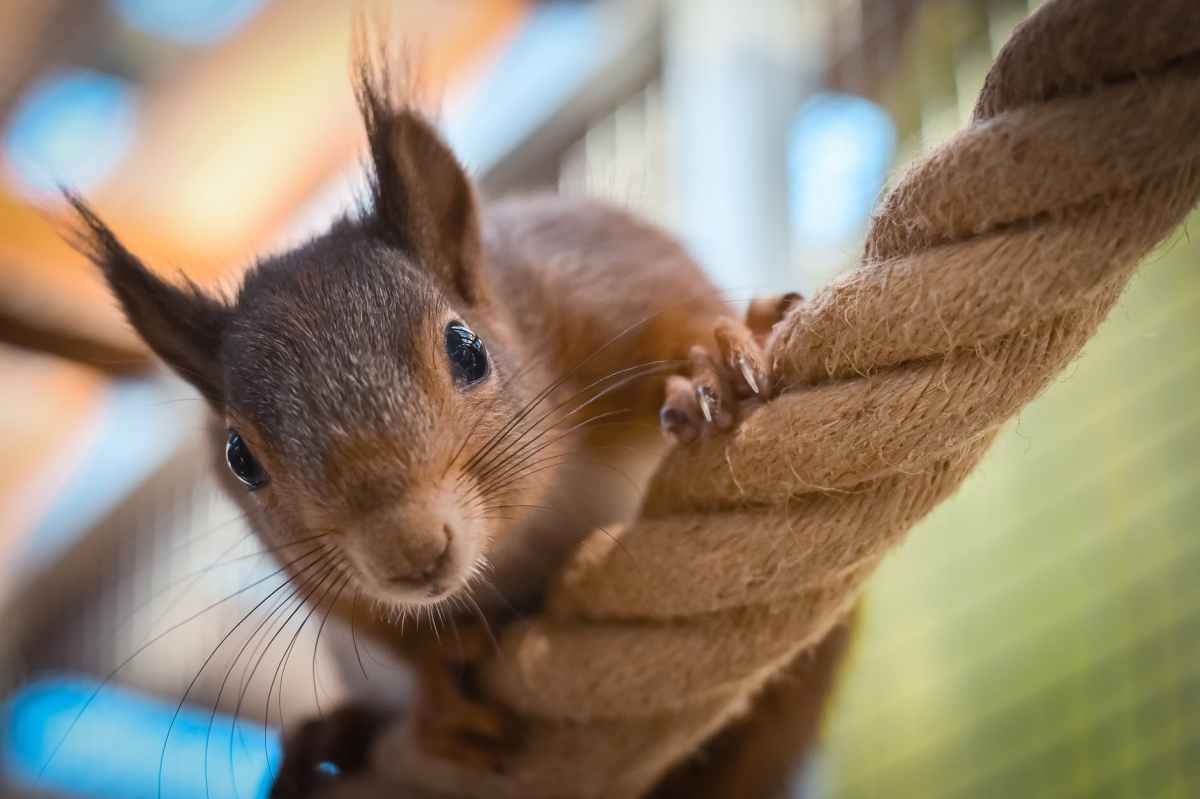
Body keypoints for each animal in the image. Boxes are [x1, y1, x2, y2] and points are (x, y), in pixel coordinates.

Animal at [71, 54, 838, 799]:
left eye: (467, 349)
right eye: (240, 458)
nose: (410, 552)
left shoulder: (602, 280)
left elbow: (681, 313)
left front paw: (715, 361)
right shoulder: (313, 568)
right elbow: (378, 622)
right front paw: (440, 692)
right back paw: (329, 742)